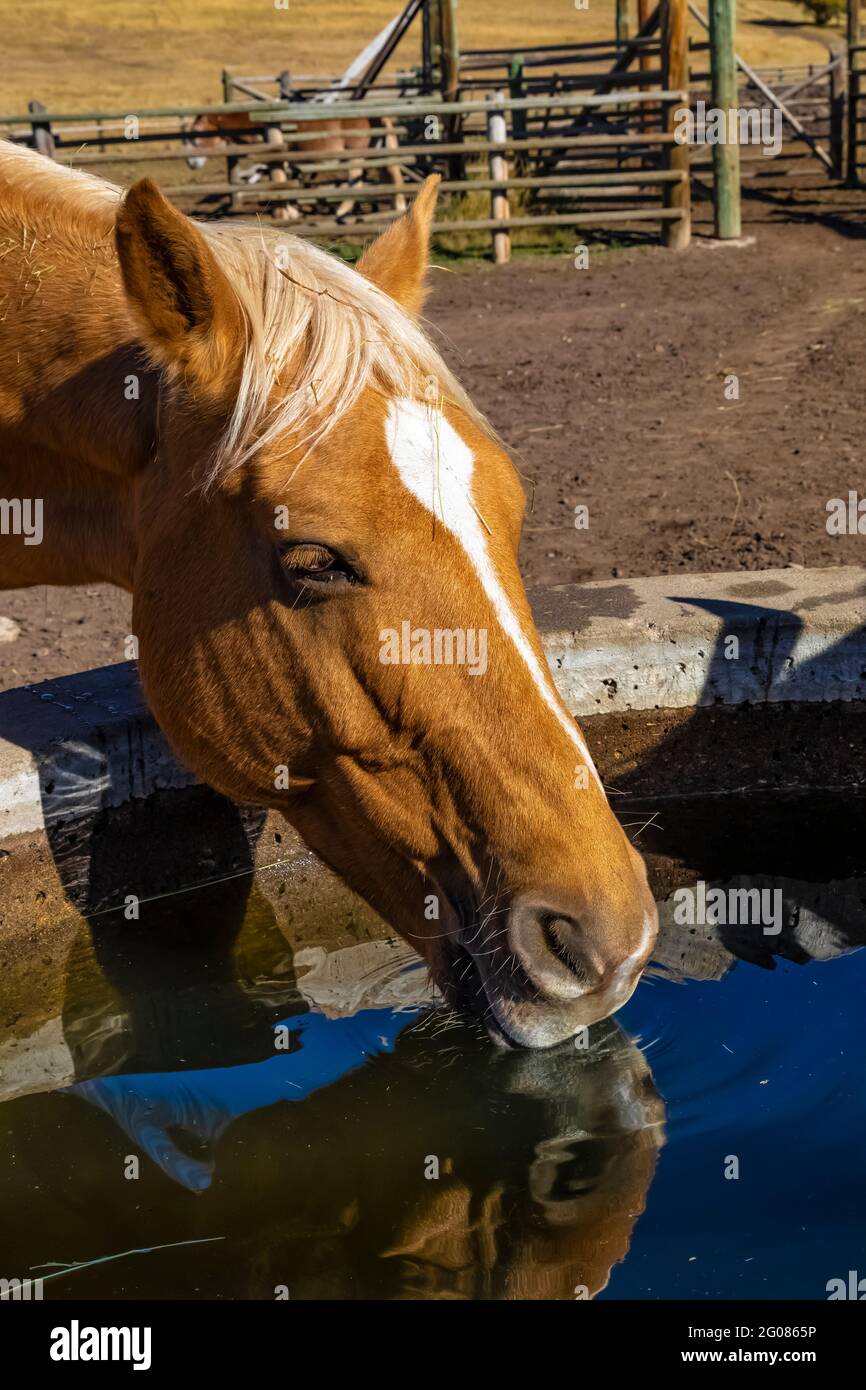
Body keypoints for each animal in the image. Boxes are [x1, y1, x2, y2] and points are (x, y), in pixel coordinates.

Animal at [183, 109, 406, 221]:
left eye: (195, 134)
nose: (190, 162)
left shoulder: (276, 159)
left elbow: (279, 183)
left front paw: (285, 213)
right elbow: (287, 184)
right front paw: (292, 211)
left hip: (355, 157)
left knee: (357, 184)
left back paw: (341, 211)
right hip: (378, 156)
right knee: (391, 178)